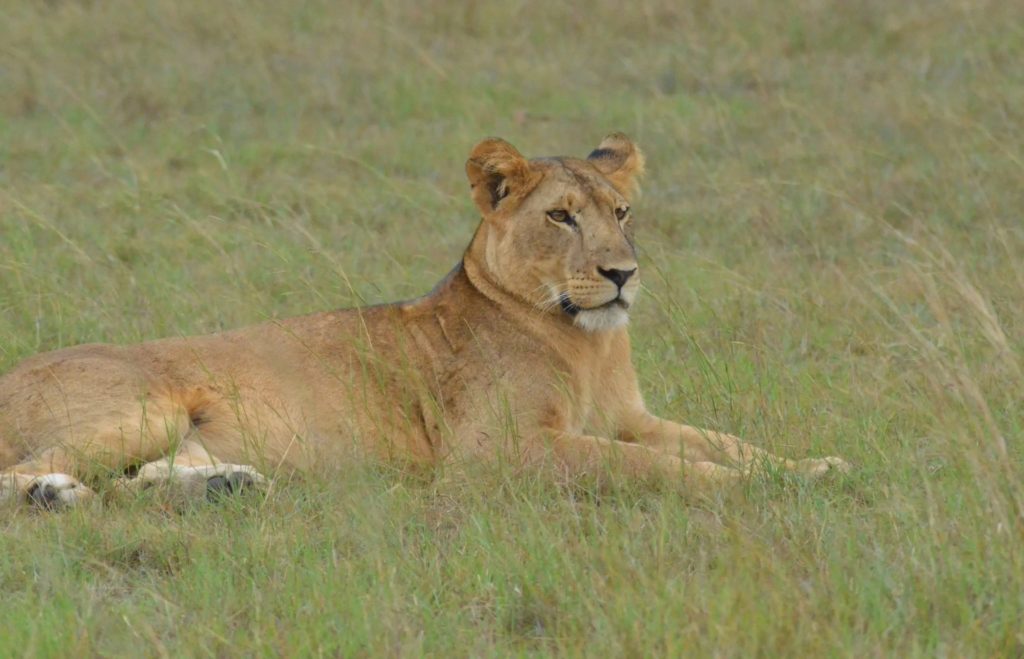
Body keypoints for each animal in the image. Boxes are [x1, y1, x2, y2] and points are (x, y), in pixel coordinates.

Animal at [0, 134, 848, 509]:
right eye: (562, 217)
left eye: (622, 212)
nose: (621, 274)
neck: (586, 343)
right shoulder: (496, 450)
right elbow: (648, 466)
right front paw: (746, 487)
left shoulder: (631, 415)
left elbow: (724, 440)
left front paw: (811, 466)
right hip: (142, 406)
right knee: (38, 473)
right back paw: (53, 493)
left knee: (144, 478)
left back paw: (227, 484)